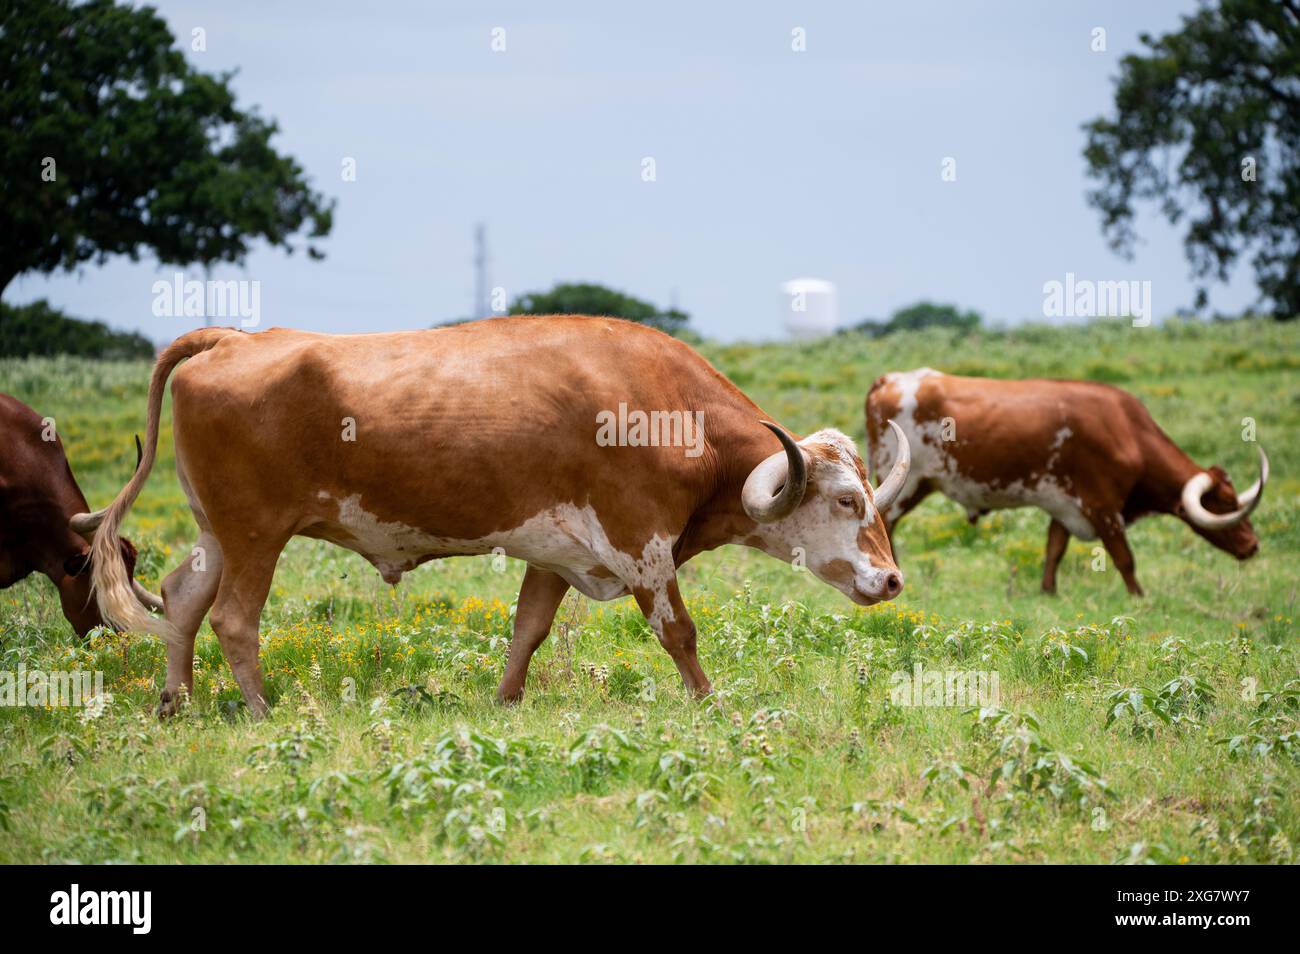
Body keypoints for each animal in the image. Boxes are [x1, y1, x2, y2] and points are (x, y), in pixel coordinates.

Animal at [71, 317, 912, 717]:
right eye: (847, 501)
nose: (892, 579)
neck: (673, 413)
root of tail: (234, 338)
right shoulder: (642, 548)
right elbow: (679, 632)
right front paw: (710, 704)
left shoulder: (554, 554)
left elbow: (527, 630)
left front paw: (506, 702)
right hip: (255, 535)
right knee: (234, 620)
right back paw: (259, 711)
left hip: (217, 534)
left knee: (182, 600)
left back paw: (175, 703)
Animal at [865, 368, 1267, 596]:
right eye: (1225, 504)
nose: (1252, 546)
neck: (1128, 432)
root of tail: (890, 380)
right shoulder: (1103, 508)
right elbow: (1125, 558)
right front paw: (1139, 596)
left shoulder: (1065, 507)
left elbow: (1053, 551)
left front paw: (1048, 592)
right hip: (905, 483)